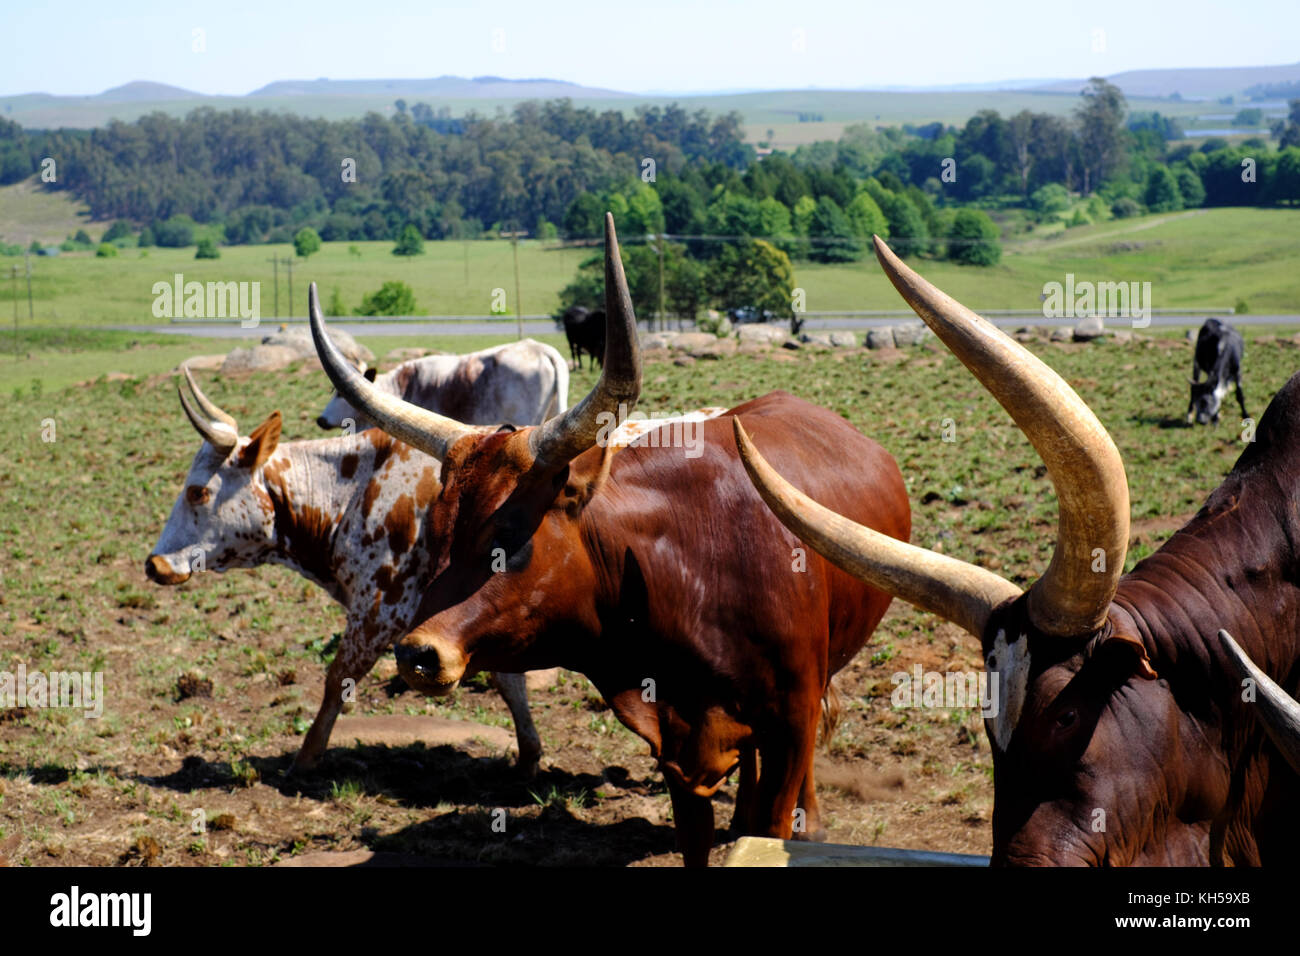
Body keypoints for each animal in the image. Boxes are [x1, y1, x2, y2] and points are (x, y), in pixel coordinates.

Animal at [145, 366, 542, 774]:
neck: (356, 490)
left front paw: (305, 758)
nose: (154, 564)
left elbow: (337, 678)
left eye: (198, 492)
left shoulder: (378, 611)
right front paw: (529, 756)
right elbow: (510, 683)